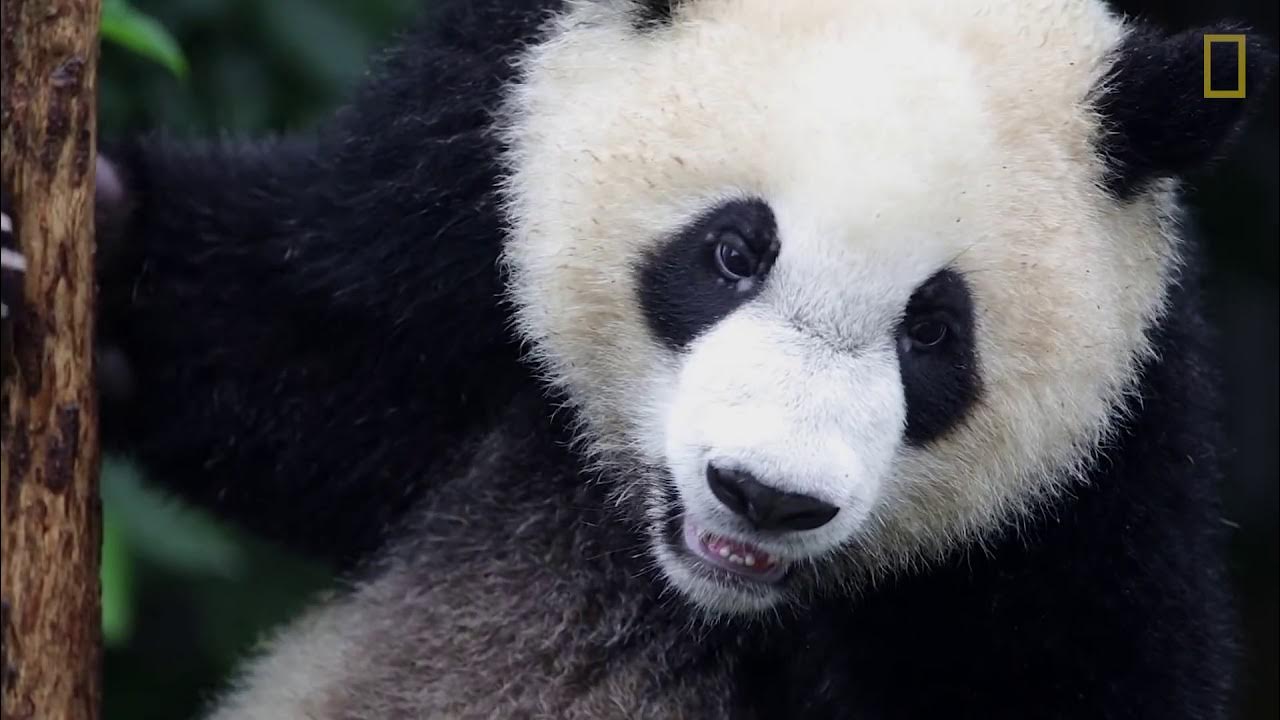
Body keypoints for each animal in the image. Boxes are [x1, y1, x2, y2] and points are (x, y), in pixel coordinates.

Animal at [2, 0, 1275, 717]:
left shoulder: (1089, 514)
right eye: (732, 251)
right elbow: (307, 348)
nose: (763, 496)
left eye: (932, 332)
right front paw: (79, 245)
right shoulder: (471, 169)